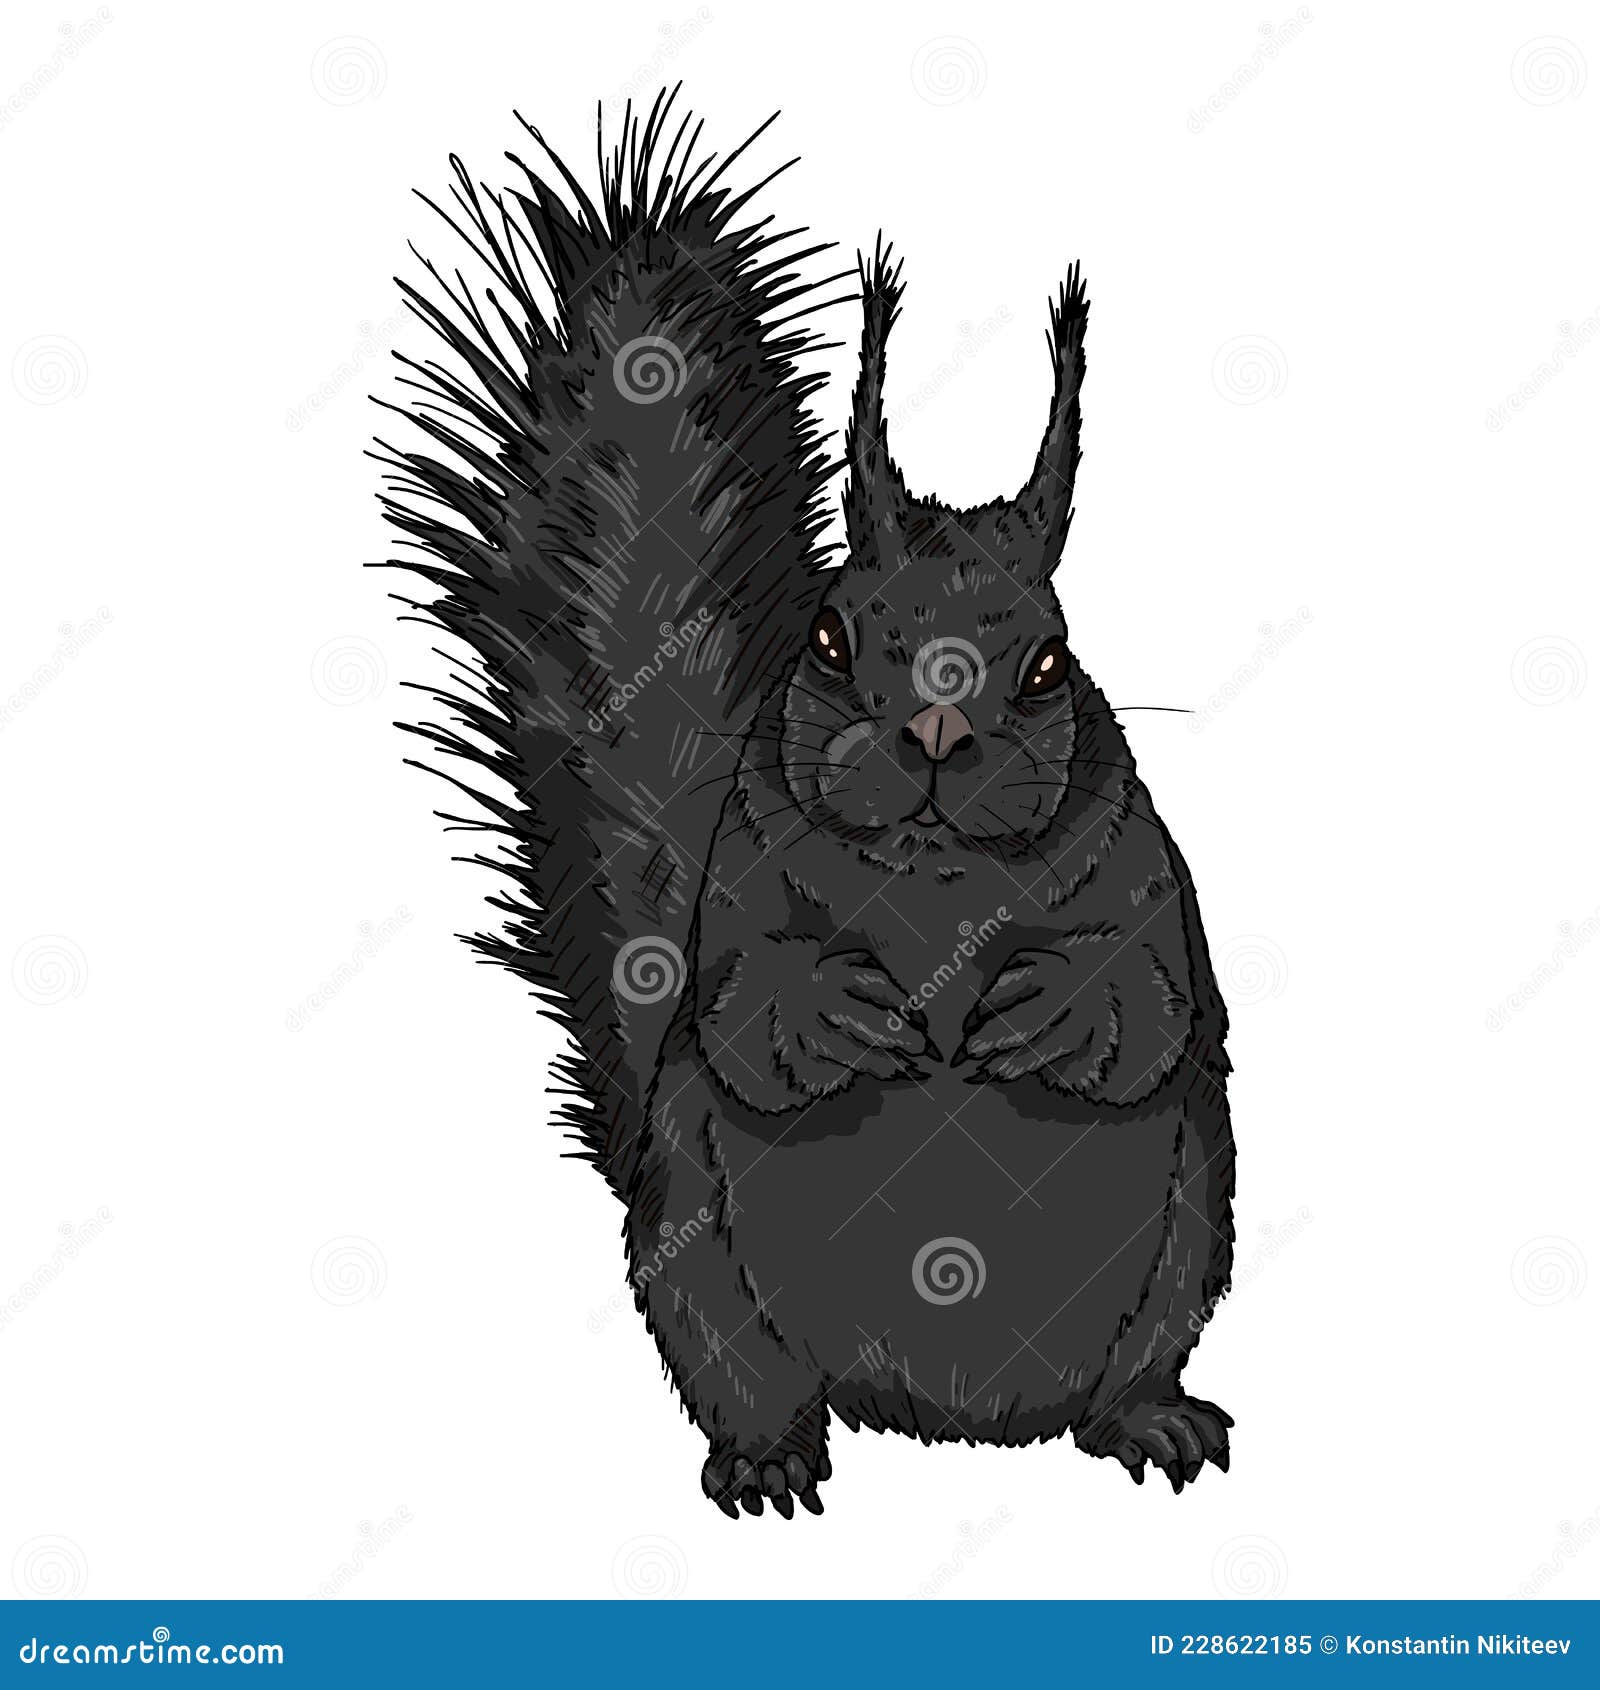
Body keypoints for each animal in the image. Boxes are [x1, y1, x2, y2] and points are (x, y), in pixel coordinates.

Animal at [375, 91, 1236, 1519]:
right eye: (833, 639)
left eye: (1046, 661)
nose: (936, 727)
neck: (937, 885)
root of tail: (948, 1421)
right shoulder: (734, 888)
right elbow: (738, 1013)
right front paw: (841, 1007)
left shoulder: (1149, 878)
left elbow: (1150, 1002)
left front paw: (1045, 1005)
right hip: (697, 1271)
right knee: (746, 1375)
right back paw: (768, 1456)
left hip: (1185, 1255)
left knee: (1129, 1373)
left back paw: (1149, 1420)